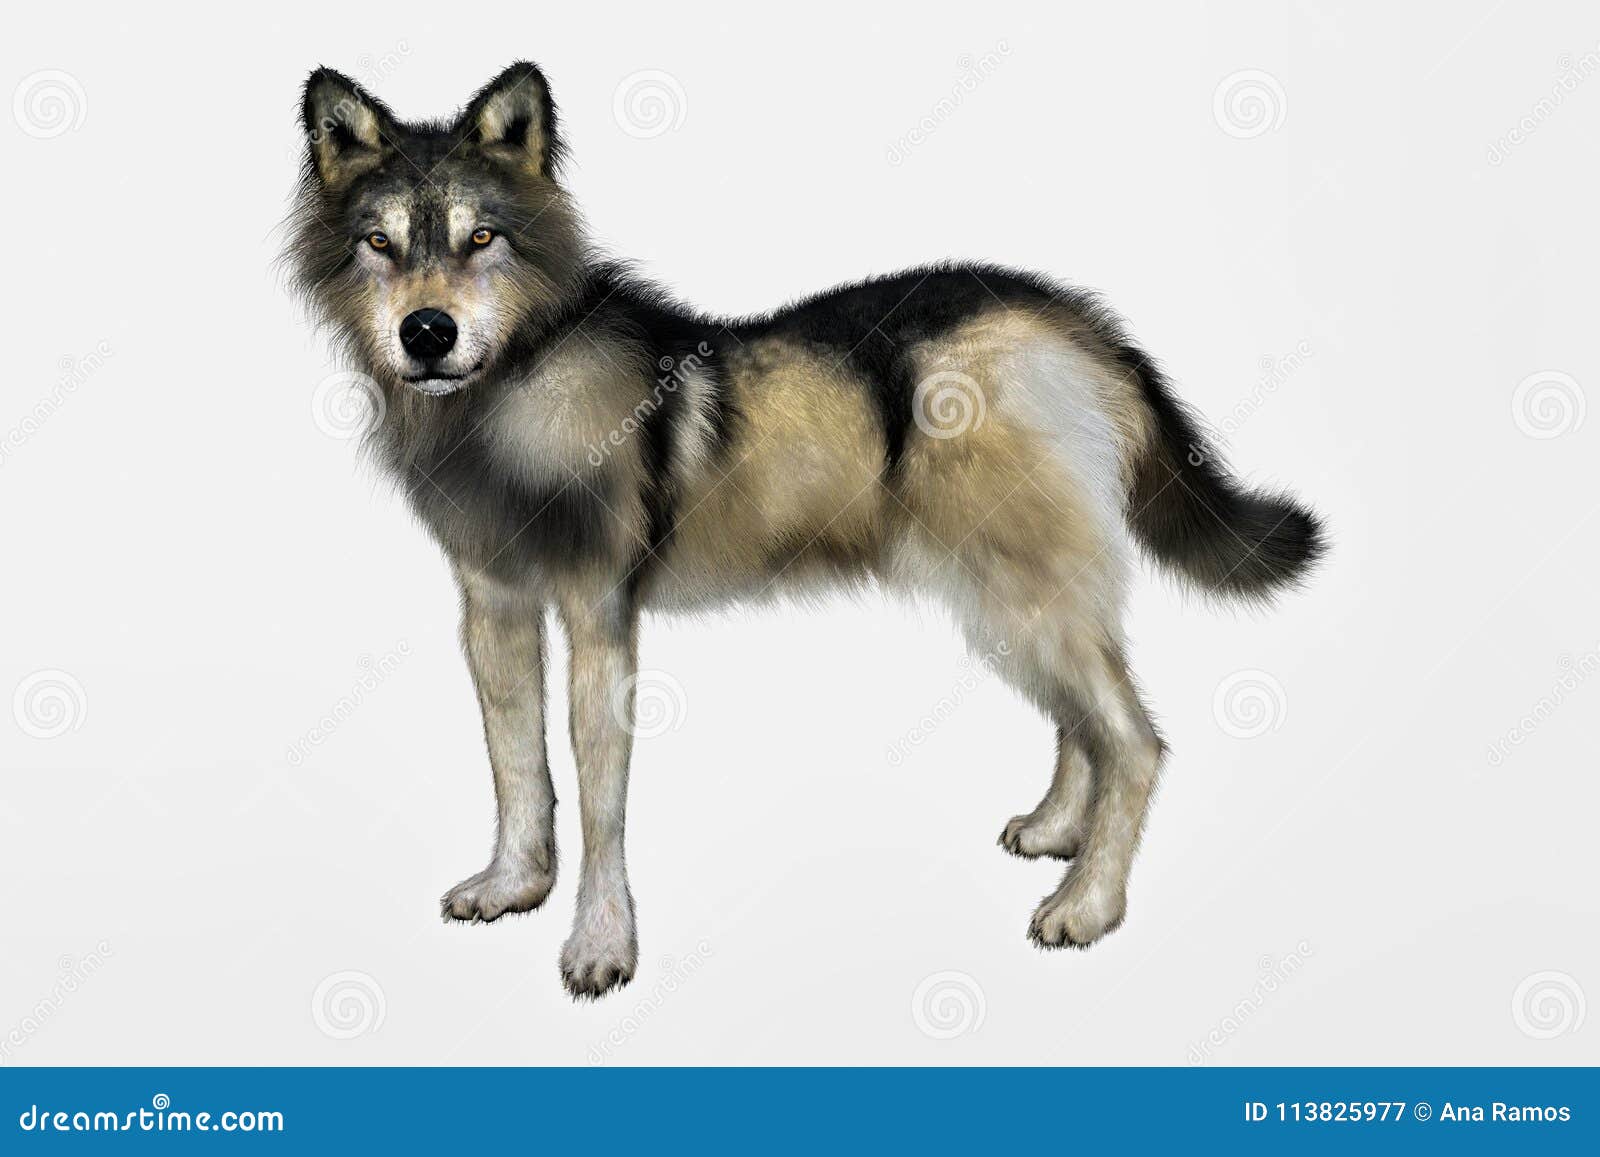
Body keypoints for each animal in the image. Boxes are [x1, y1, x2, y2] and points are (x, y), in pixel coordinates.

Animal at [286, 62, 1324, 998]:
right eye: (379, 242)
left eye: (482, 237)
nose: (427, 333)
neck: (520, 380)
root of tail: (1074, 317)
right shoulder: (494, 611)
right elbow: (515, 768)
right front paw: (515, 885)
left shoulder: (600, 620)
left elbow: (599, 801)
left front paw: (601, 946)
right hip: (1005, 601)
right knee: (1086, 724)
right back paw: (1056, 831)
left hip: (1021, 594)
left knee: (1136, 743)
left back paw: (1089, 904)